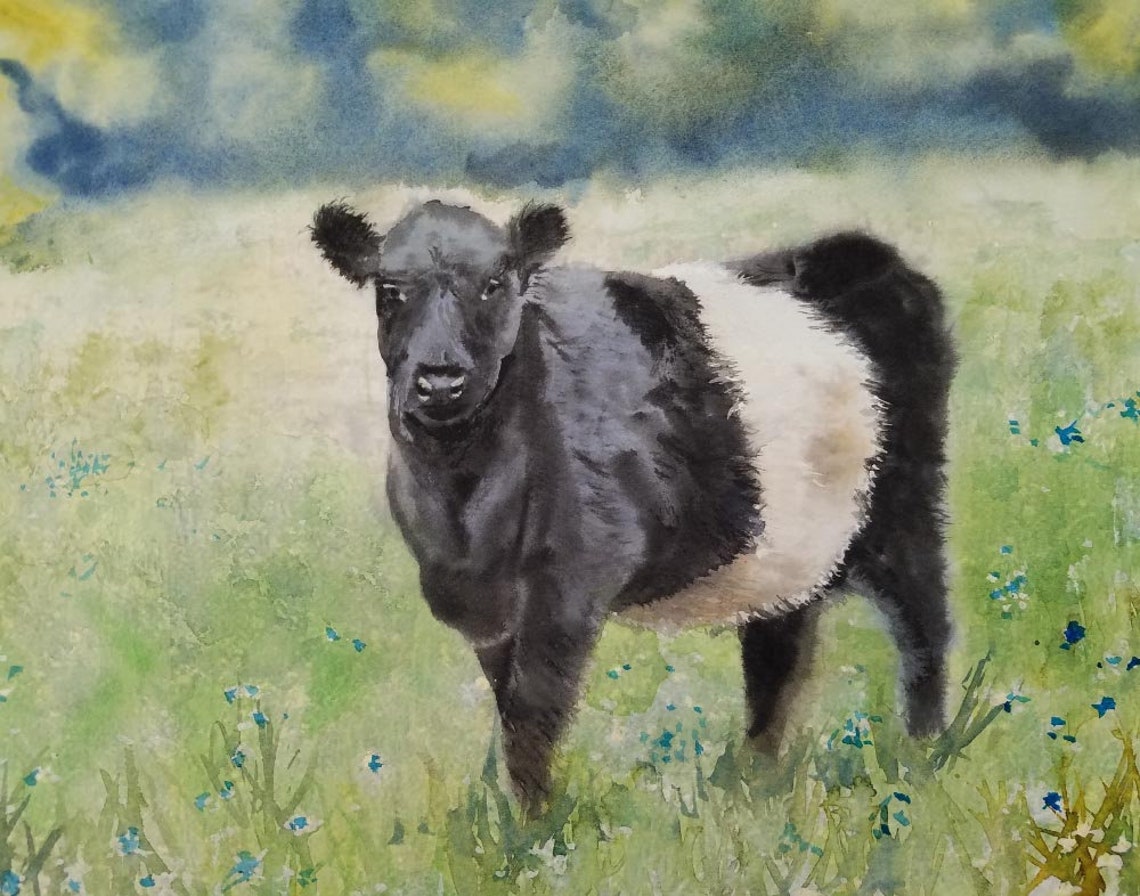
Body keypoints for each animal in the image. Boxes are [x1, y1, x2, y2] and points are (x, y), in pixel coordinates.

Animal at [310, 199, 956, 814]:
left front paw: (533, 828)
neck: (464, 506)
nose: (440, 380)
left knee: (925, 625)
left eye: (495, 283)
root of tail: (852, 253)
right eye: (388, 290)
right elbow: (510, 704)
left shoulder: (573, 580)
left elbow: (536, 708)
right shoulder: (485, 606)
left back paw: (923, 755)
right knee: (779, 652)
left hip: (906, 510)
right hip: (789, 548)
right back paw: (755, 781)